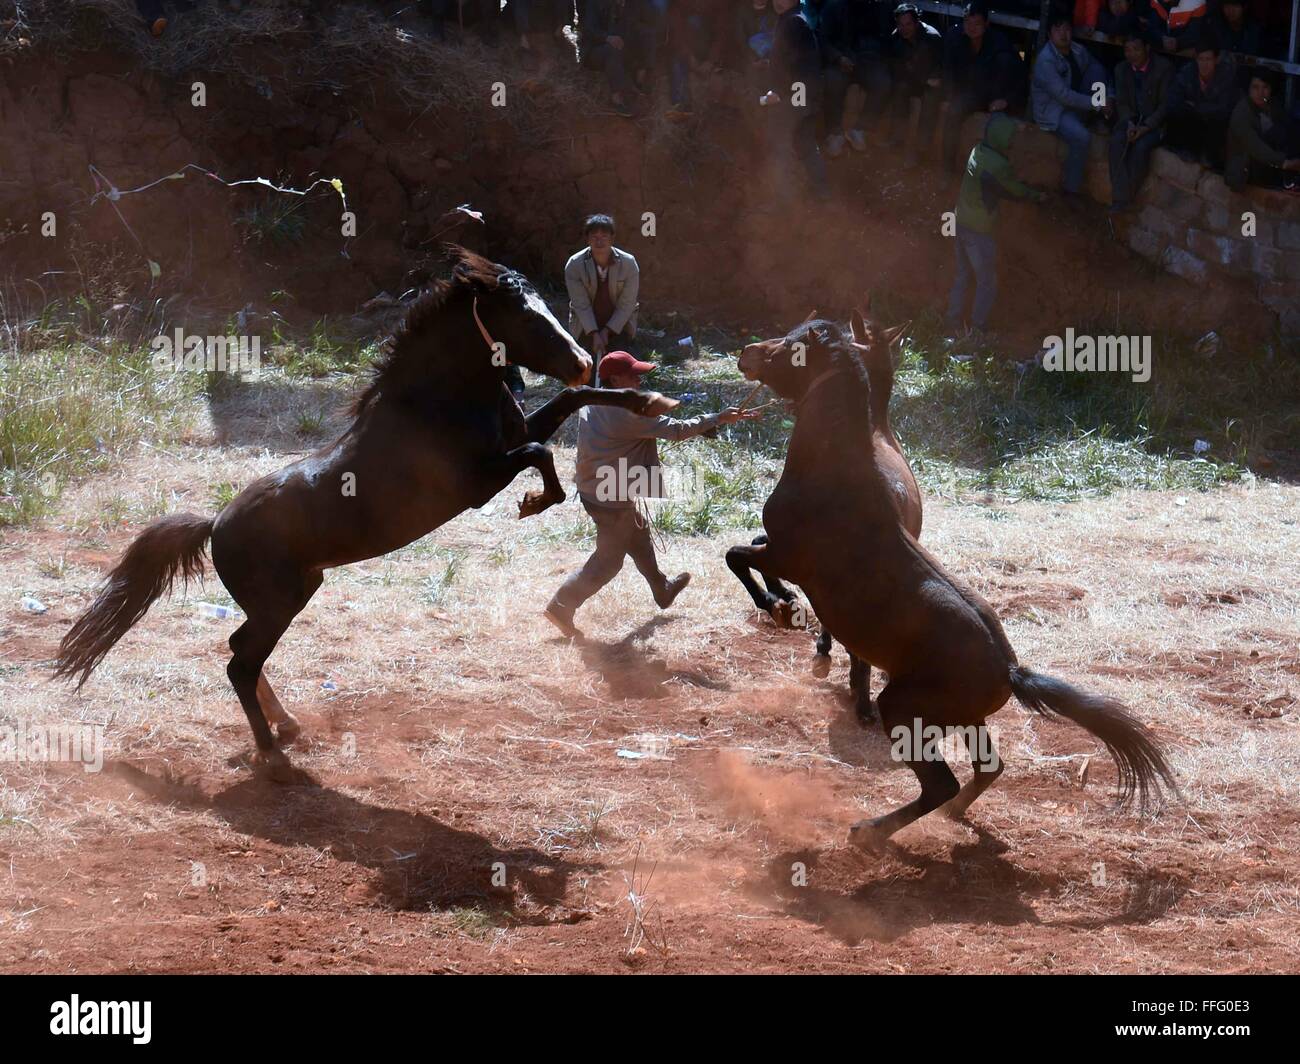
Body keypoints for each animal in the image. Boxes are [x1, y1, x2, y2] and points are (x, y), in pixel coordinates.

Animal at [55, 246, 677, 778]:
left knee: (239, 652)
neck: (436, 400)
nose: (581, 360)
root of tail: (215, 526)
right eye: (523, 315)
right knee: (239, 663)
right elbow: (540, 455)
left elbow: (569, 409)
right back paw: (271, 753)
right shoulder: (475, 483)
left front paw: (648, 400)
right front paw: (534, 502)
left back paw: (287, 726)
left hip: (294, 593)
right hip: (279, 601)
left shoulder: (518, 433)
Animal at [727, 308, 921, 723]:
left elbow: (735, 556)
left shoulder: (788, 554)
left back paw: (861, 697)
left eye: (790, 345)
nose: (748, 351)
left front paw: (778, 605)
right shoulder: (783, 551)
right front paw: (784, 597)